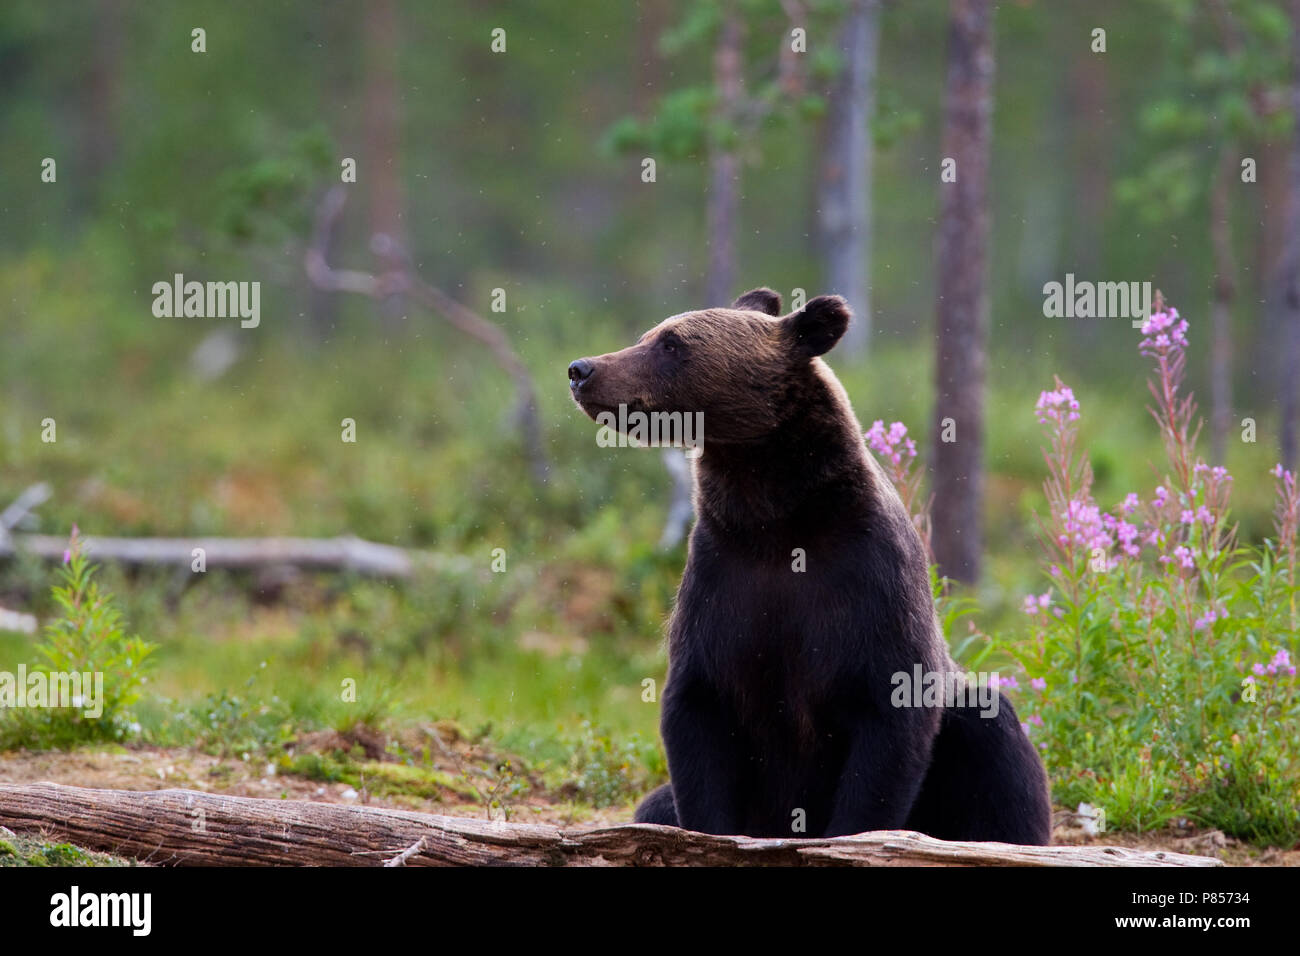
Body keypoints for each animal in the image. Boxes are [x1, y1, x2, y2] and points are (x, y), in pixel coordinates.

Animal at [567, 288, 1052, 844]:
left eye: (672, 343)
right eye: (650, 335)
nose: (582, 369)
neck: (779, 519)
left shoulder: (870, 582)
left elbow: (889, 723)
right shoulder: (721, 582)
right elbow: (697, 717)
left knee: (994, 738)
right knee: (654, 804)